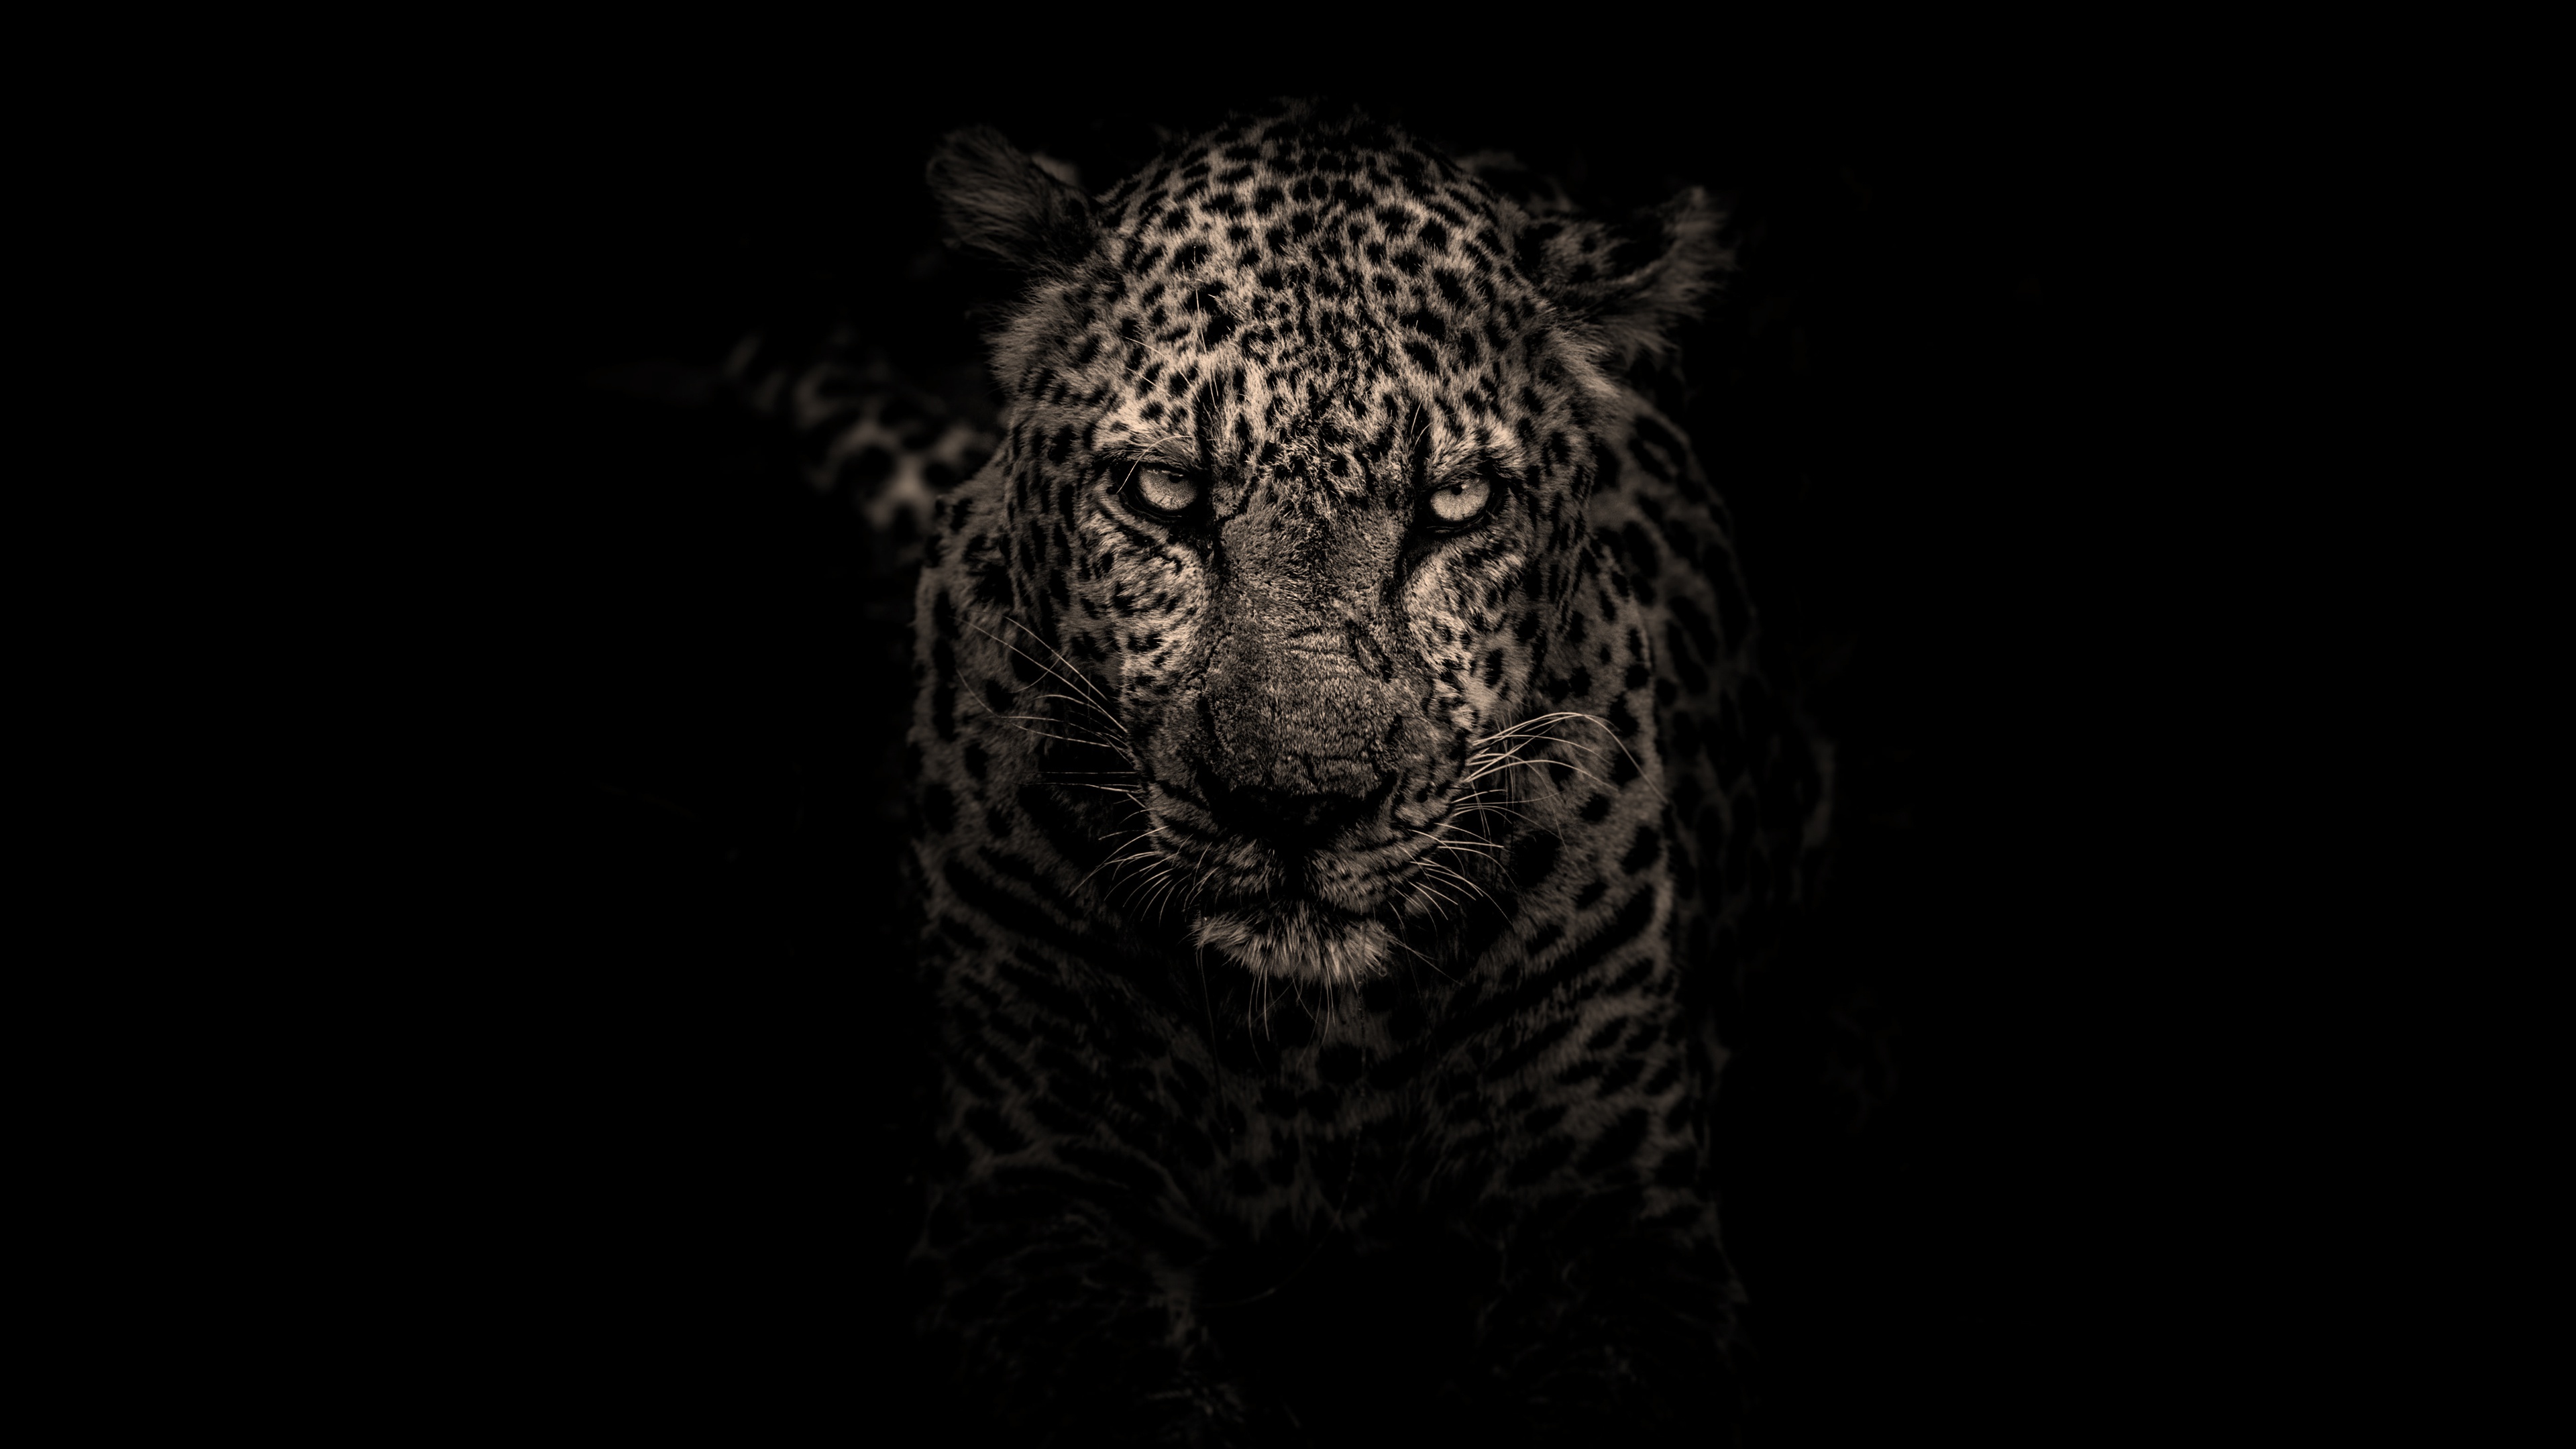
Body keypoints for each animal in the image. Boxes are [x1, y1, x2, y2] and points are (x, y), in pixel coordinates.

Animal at [901, 99, 1830, 1445]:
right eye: (1164, 493)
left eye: (1457, 503)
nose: (1298, 807)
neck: (1310, 1051)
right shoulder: (1022, 1203)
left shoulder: (1618, 1226)